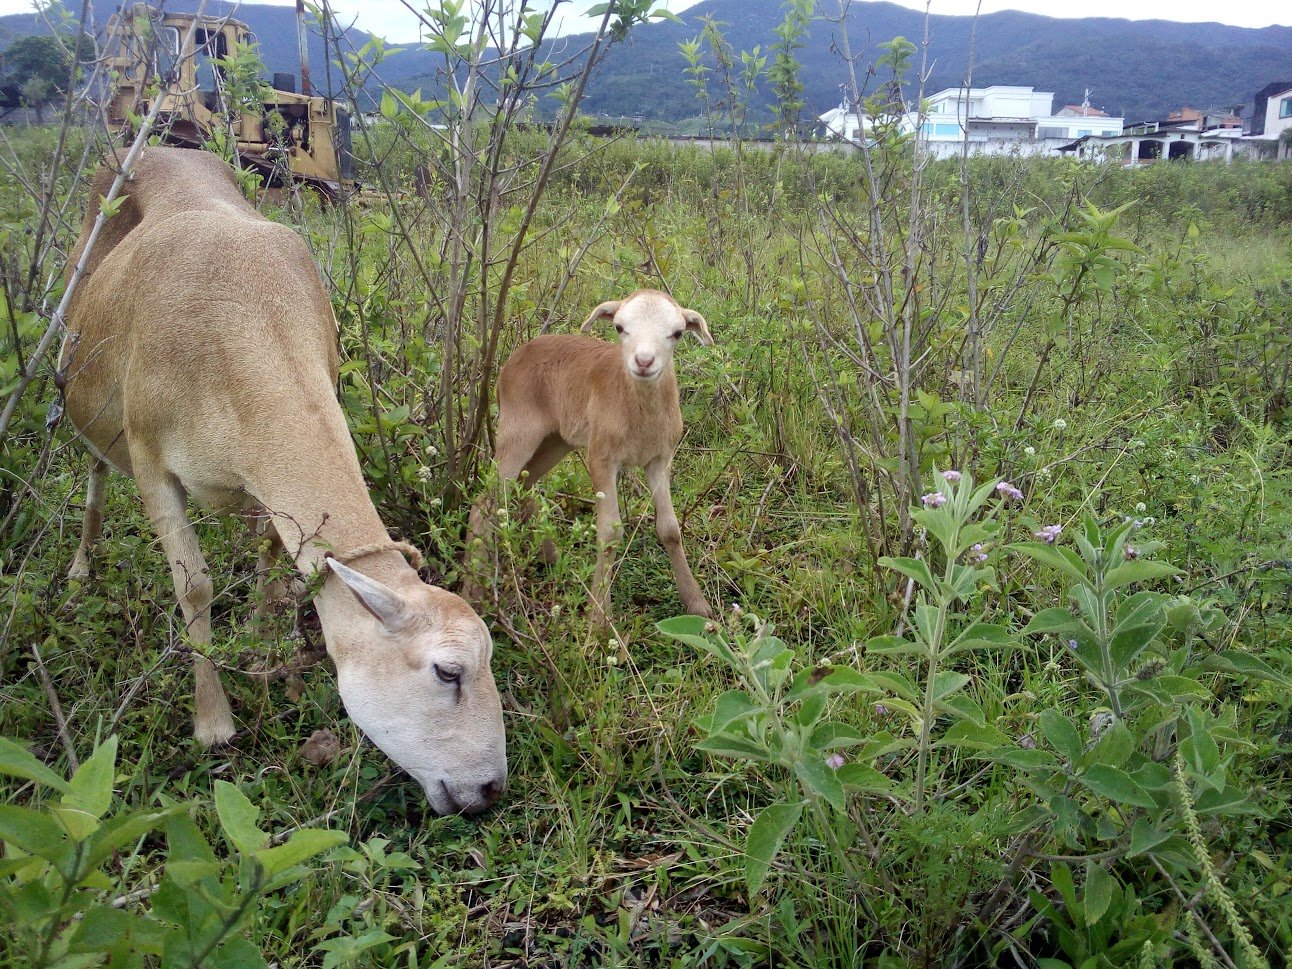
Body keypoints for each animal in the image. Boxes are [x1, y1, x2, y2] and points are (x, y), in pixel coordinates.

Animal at [58, 147, 505, 815]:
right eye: (448, 673)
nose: (492, 788)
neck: (247, 318)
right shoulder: (151, 461)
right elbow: (193, 586)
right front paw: (213, 723)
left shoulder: (267, 480)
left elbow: (271, 566)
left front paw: (264, 651)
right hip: (88, 401)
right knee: (93, 473)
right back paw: (82, 566)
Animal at [465, 289, 715, 627]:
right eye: (620, 327)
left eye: (677, 333)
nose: (643, 361)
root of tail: (512, 360)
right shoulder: (601, 457)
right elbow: (609, 533)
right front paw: (599, 618)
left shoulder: (660, 459)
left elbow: (670, 530)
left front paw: (696, 603)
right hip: (518, 431)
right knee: (485, 501)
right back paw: (473, 590)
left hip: (556, 439)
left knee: (524, 485)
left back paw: (551, 557)